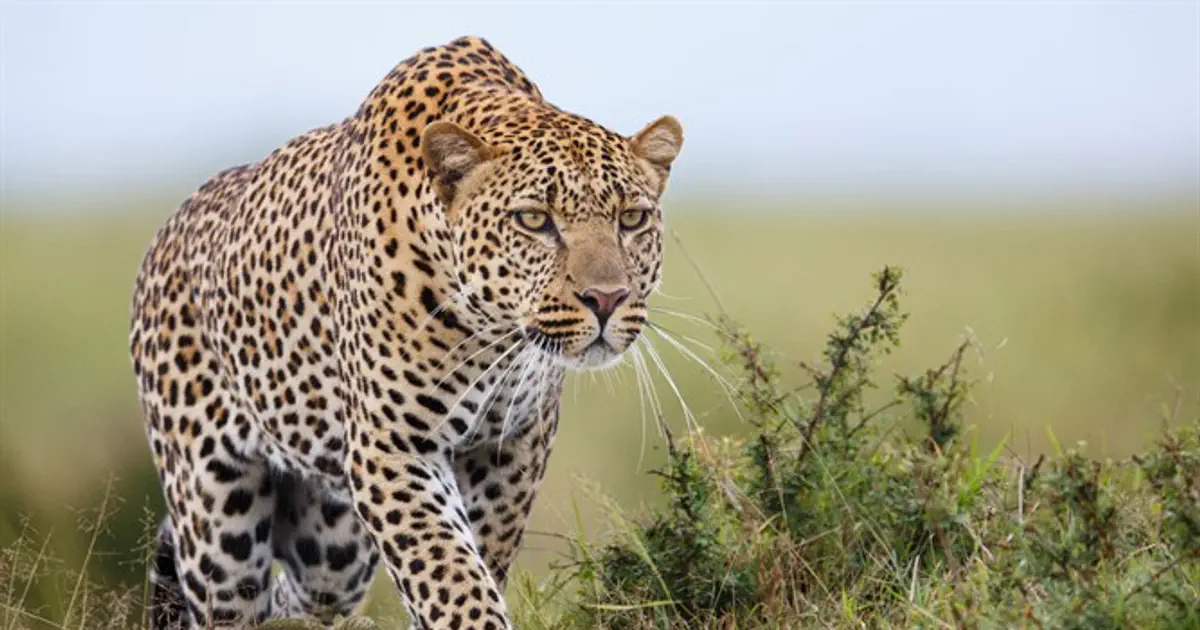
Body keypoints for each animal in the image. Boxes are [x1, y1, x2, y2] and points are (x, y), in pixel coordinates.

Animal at [129, 35, 683, 629]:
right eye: (534, 220)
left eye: (631, 219)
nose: (606, 299)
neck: (491, 331)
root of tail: (167, 230)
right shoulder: (393, 448)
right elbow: (448, 571)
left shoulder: (513, 445)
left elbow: (479, 557)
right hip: (217, 524)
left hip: (332, 547)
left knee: (301, 597)